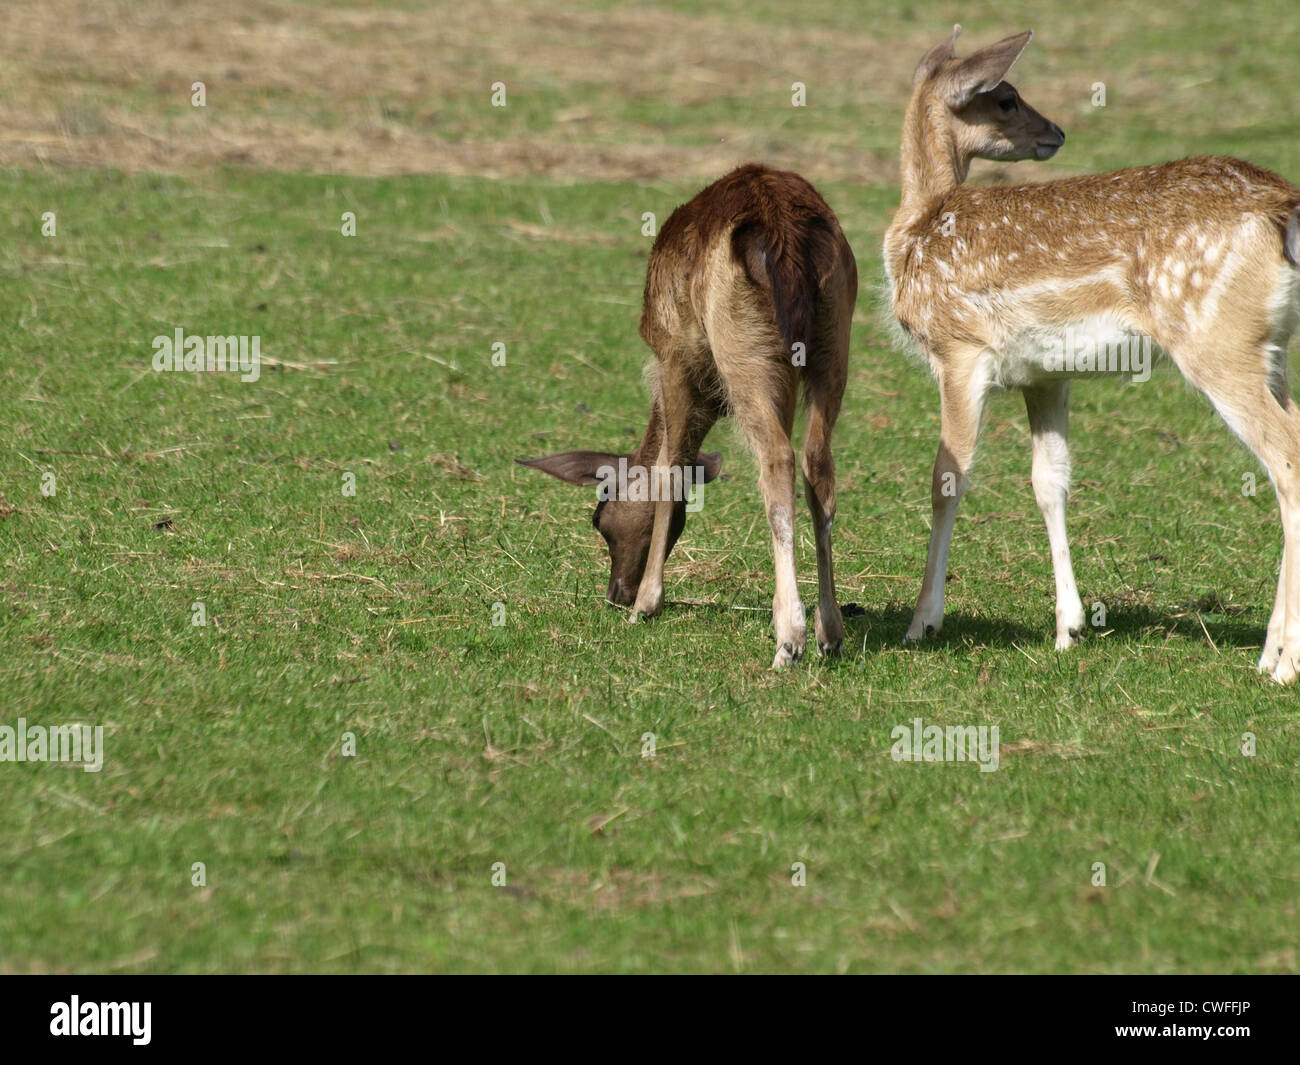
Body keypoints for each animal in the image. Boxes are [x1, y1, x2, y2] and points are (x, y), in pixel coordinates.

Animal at [518, 164, 858, 670]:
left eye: (600, 518)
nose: (616, 594)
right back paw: (829, 631)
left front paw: (646, 604)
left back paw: (788, 639)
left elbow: (669, 467)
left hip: (741, 348)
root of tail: (786, 233)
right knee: (818, 461)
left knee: (778, 458)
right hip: (834, 337)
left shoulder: (673, 356)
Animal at [885, 26, 1300, 682]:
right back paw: (1266, 655)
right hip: (1272, 348)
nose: (1055, 131)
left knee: (1286, 461)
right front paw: (1068, 628)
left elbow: (947, 477)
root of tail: (1284, 209)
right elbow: (1049, 480)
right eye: (1007, 99)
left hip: (1216, 341)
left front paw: (921, 622)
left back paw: (1284, 664)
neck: (917, 229)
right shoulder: (1045, 376)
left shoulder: (958, 350)